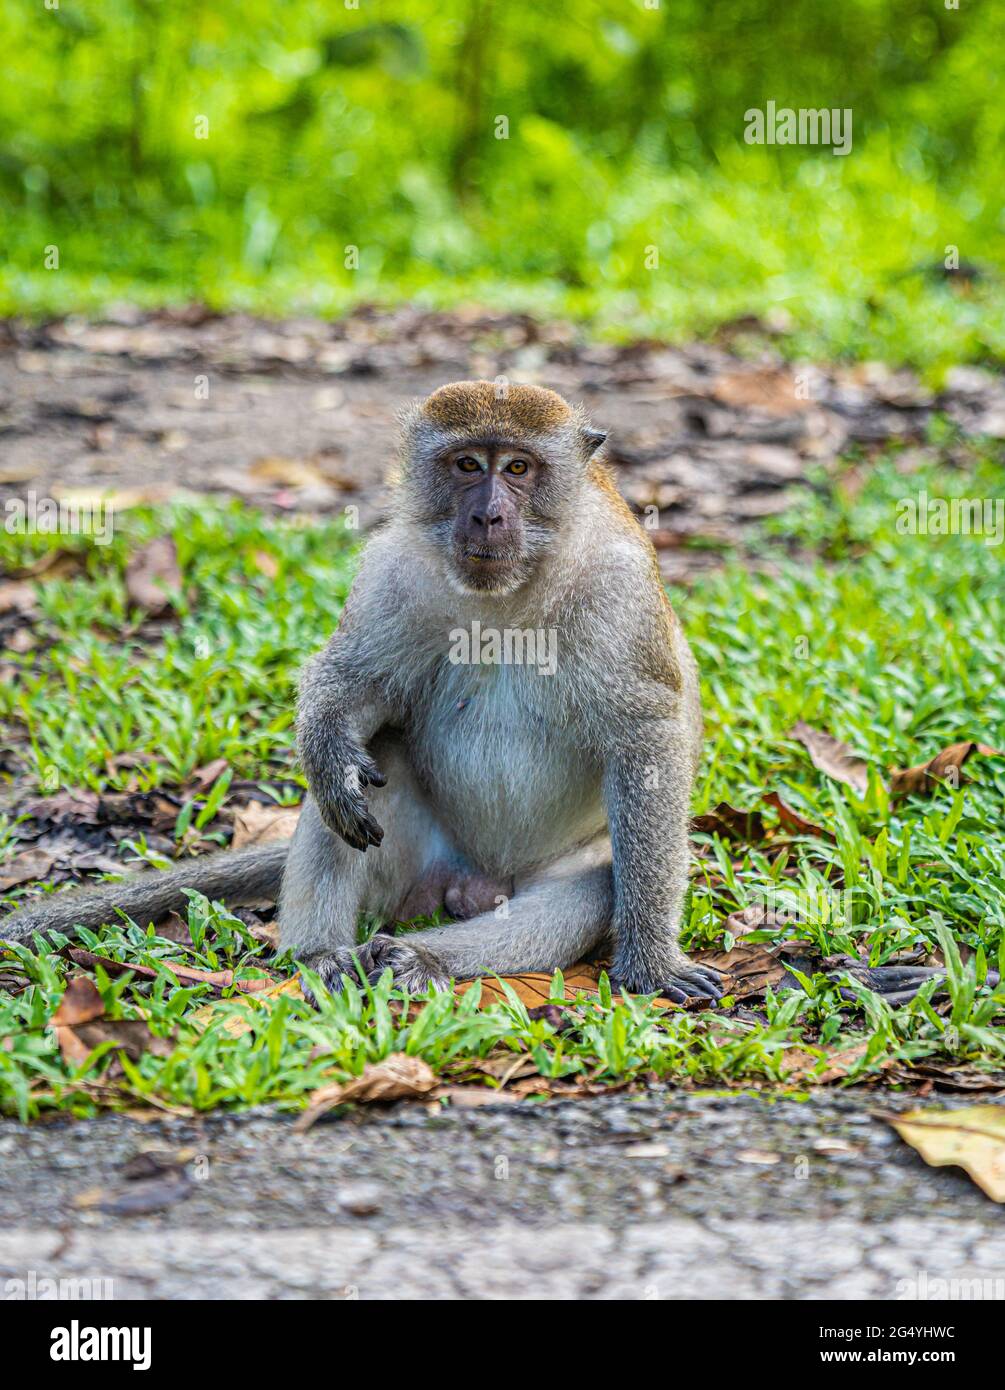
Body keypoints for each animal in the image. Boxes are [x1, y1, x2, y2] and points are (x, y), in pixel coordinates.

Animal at [1, 382, 722, 1007]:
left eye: (518, 467)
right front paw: (327, 752)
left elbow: (647, 743)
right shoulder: (391, 568)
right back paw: (320, 956)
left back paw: (421, 956)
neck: (511, 595)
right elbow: (354, 685)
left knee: (581, 893)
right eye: (467, 464)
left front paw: (653, 964)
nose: (487, 513)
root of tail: (474, 878)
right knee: (373, 764)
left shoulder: (617, 589)